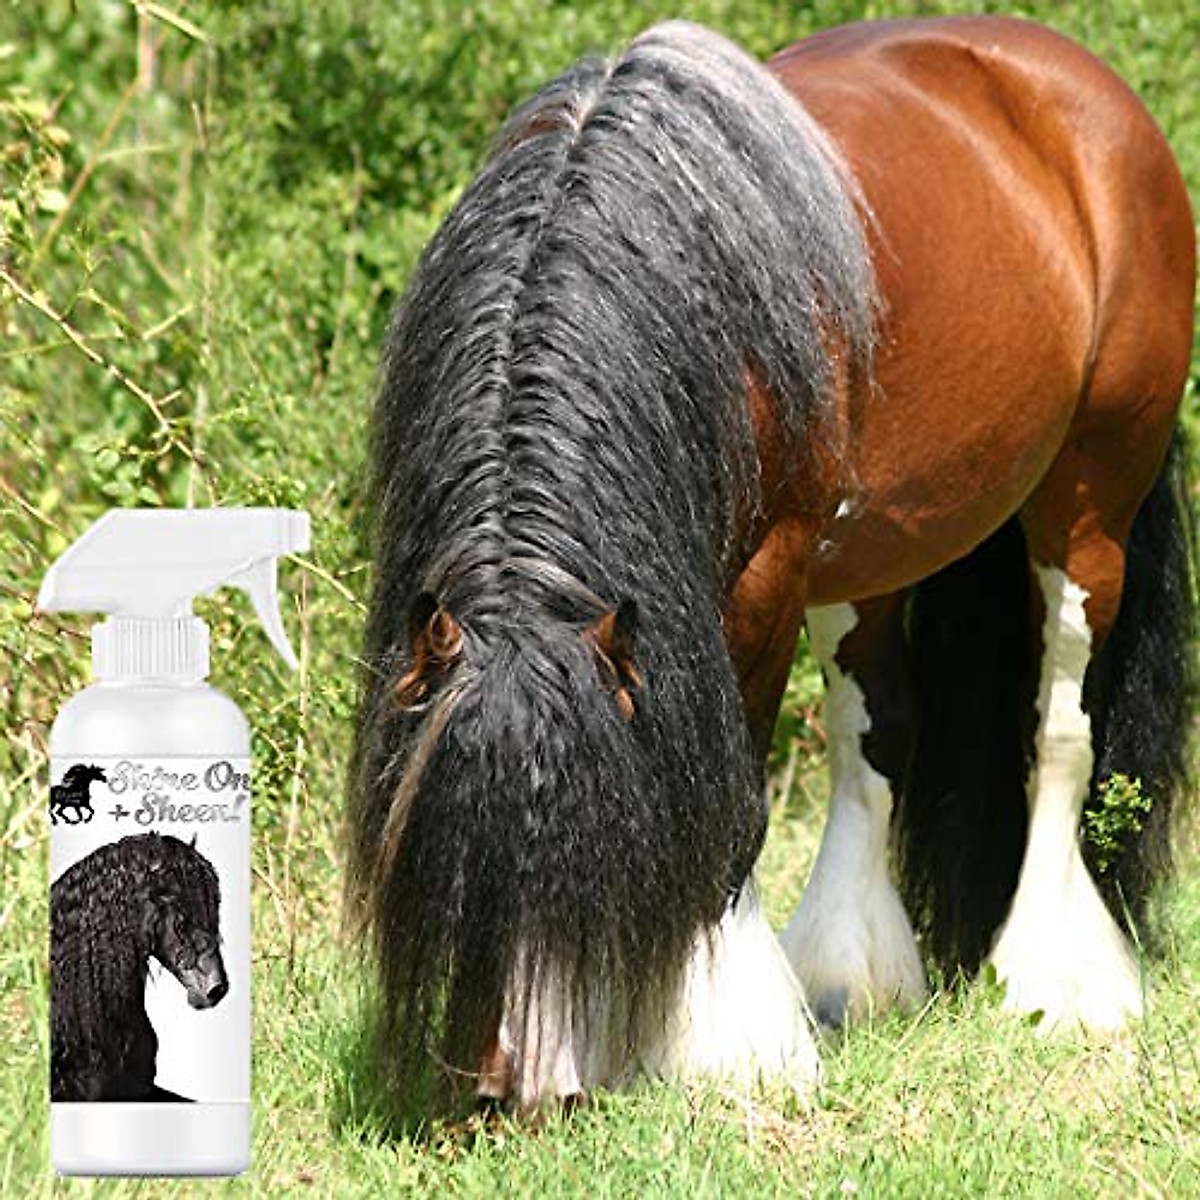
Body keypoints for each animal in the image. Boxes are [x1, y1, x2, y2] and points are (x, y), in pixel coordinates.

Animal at [350, 17, 1194, 1114]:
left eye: (588, 854)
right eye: (447, 860)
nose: (515, 1089)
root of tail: (1070, 81)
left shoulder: (760, 581)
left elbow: (736, 792)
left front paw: (730, 1044)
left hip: (1087, 507)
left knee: (1058, 728)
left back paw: (1054, 978)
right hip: (873, 554)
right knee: (878, 733)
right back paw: (848, 976)